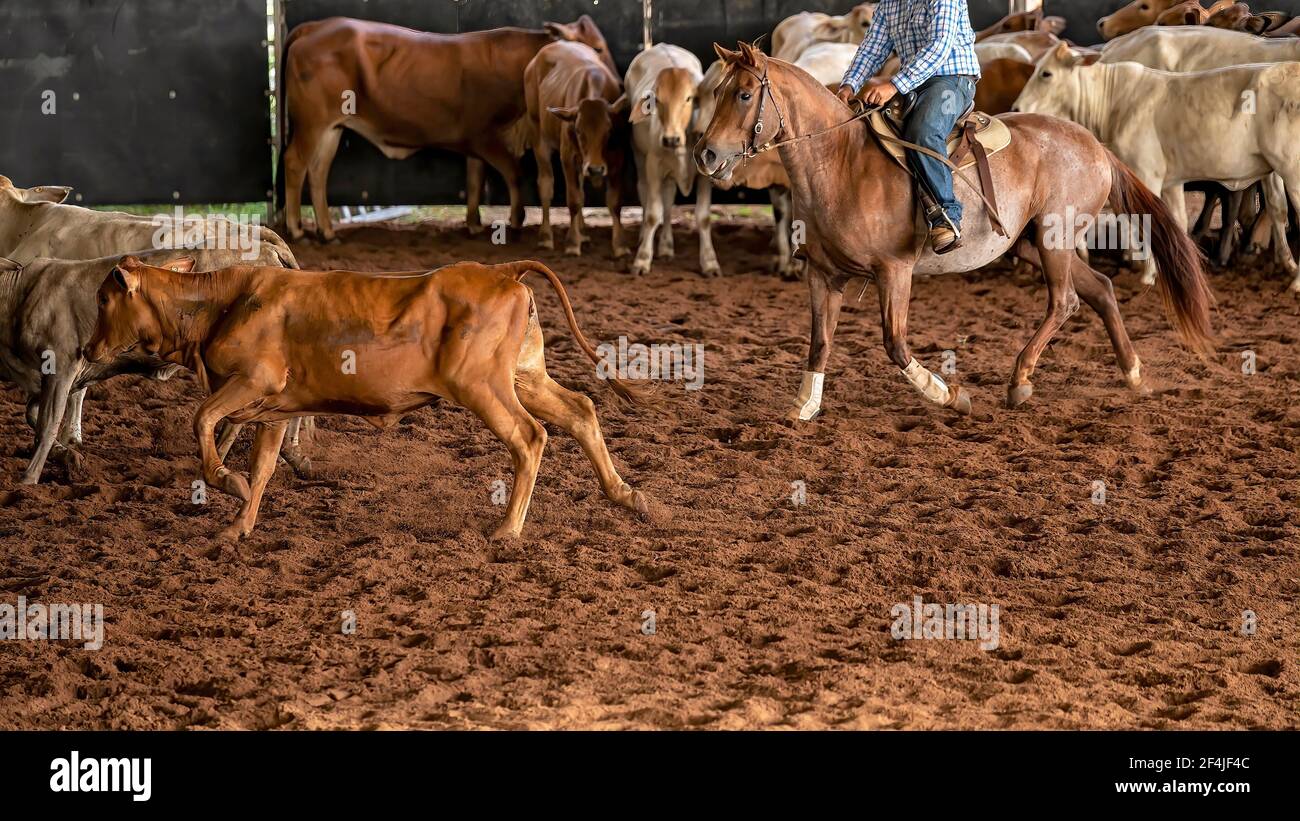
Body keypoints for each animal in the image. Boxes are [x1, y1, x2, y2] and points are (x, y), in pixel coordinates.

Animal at [85, 257, 650, 541]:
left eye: (104, 298)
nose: (86, 349)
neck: (224, 303)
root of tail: (502, 271)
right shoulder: (274, 409)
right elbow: (263, 467)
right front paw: (238, 524)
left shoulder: (254, 382)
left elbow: (202, 421)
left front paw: (227, 482)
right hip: (524, 376)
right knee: (580, 411)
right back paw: (628, 496)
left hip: (483, 387)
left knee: (530, 436)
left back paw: (507, 528)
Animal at [281, 16, 616, 242]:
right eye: (598, 47)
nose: (615, 81)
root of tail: (315, 26)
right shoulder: (485, 138)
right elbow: (513, 173)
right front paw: (516, 219)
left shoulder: (473, 145)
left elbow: (474, 181)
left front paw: (474, 223)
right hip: (312, 123)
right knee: (295, 163)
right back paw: (296, 229)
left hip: (332, 128)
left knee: (318, 171)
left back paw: (326, 231)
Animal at [524, 41, 630, 259]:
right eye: (578, 130)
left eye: (609, 130)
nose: (596, 169)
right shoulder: (568, 157)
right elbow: (573, 200)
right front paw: (572, 243)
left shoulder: (618, 157)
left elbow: (614, 202)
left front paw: (620, 245)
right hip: (538, 135)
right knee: (546, 185)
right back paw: (546, 237)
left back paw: (584, 232)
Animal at [693, 42, 1214, 421]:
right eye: (716, 93)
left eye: (744, 94)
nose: (706, 155)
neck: (840, 163)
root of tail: (1096, 144)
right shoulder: (822, 274)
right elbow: (819, 343)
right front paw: (804, 405)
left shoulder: (894, 271)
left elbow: (895, 343)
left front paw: (950, 396)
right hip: (1031, 243)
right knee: (1101, 289)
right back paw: (1133, 374)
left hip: (1055, 235)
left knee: (1064, 301)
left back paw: (1020, 380)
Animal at [1014, 44, 1300, 290]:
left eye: (1046, 73)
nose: (1017, 107)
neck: (1113, 101)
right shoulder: (1172, 182)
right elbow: (1177, 221)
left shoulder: (1147, 173)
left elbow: (1147, 222)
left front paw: (1149, 275)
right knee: (1278, 208)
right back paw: (1288, 265)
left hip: (1292, 170)